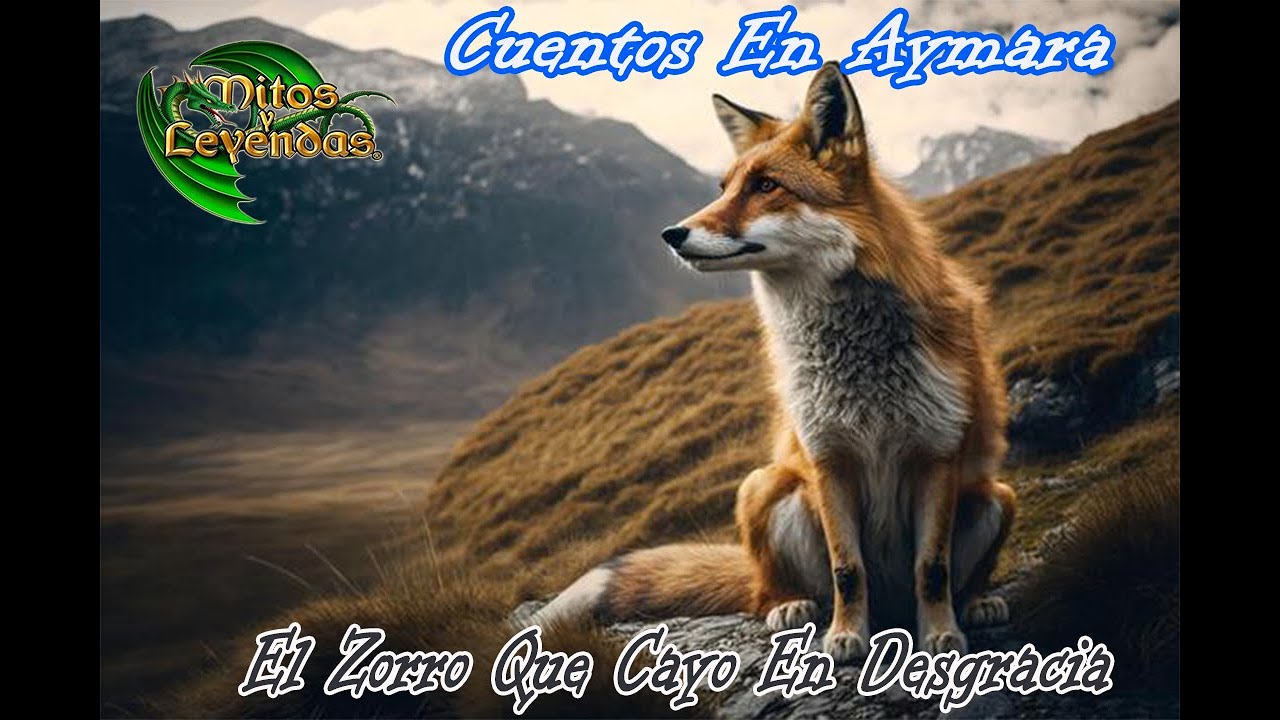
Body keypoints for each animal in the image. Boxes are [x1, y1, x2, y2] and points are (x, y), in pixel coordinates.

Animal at [531, 62, 1016, 662]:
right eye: (724, 188)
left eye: (766, 186)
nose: (671, 234)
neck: (861, 366)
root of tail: (891, 606)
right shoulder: (827, 459)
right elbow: (847, 570)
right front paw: (847, 636)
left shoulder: (937, 455)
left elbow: (932, 569)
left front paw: (942, 635)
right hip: (766, 487)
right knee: (772, 590)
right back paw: (792, 607)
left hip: (994, 496)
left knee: (953, 574)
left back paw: (978, 602)